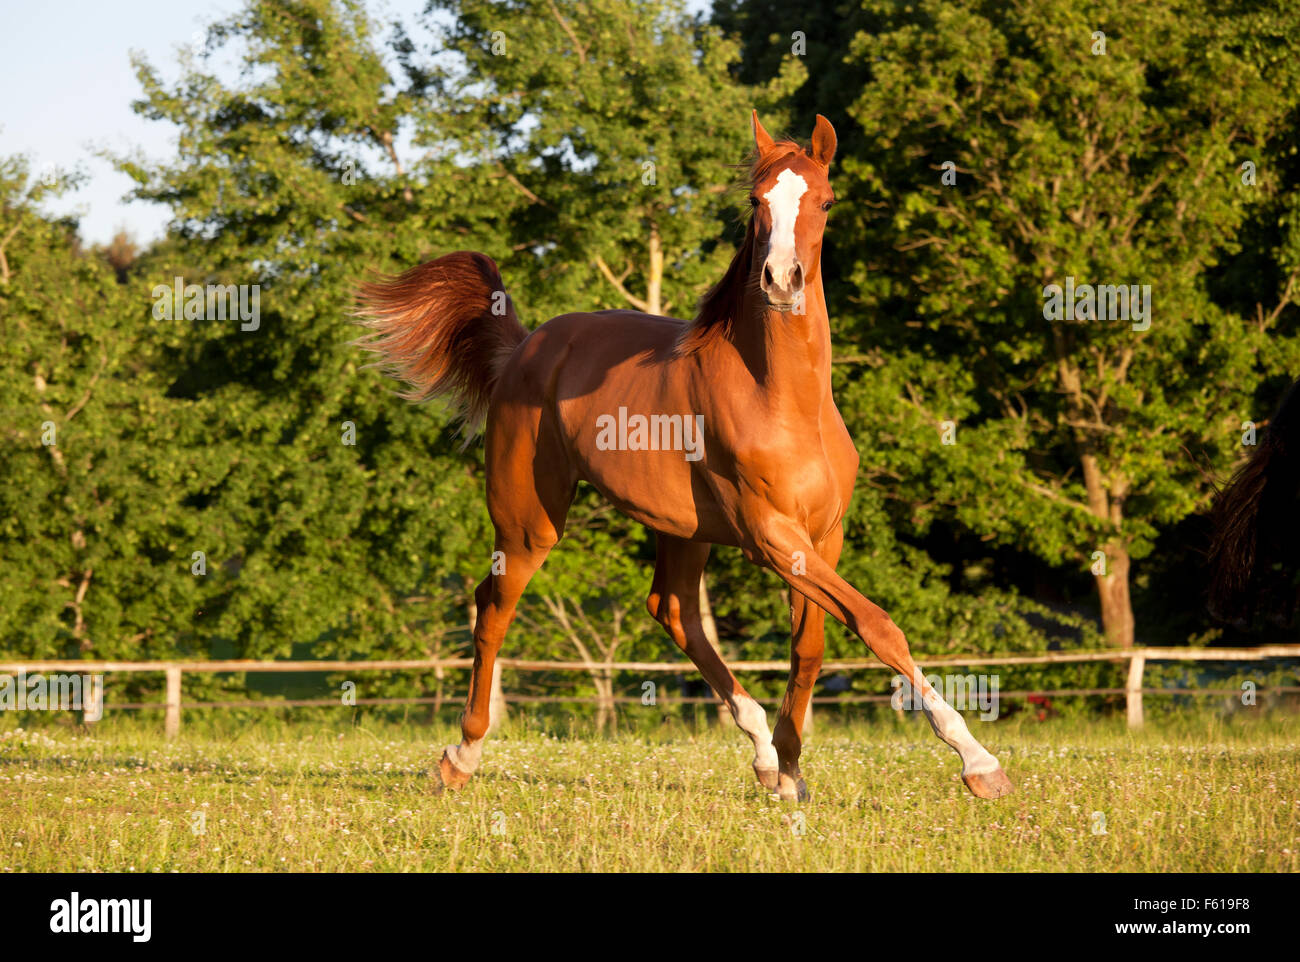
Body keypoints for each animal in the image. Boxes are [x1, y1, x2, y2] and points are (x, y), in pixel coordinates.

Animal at [354, 111, 1013, 802]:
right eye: (755, 201)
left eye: (826, 202)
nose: (781, 281)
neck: (786, 400)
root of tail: (524, 347)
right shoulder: (773, 537)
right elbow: (876, 623)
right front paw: (979, 762)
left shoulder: (822, 536)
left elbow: (811, 645)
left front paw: (790, 771)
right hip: (528, 522)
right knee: (494, 605)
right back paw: (461, 757)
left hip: (682, 528)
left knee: (671, 610)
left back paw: (761, 755)